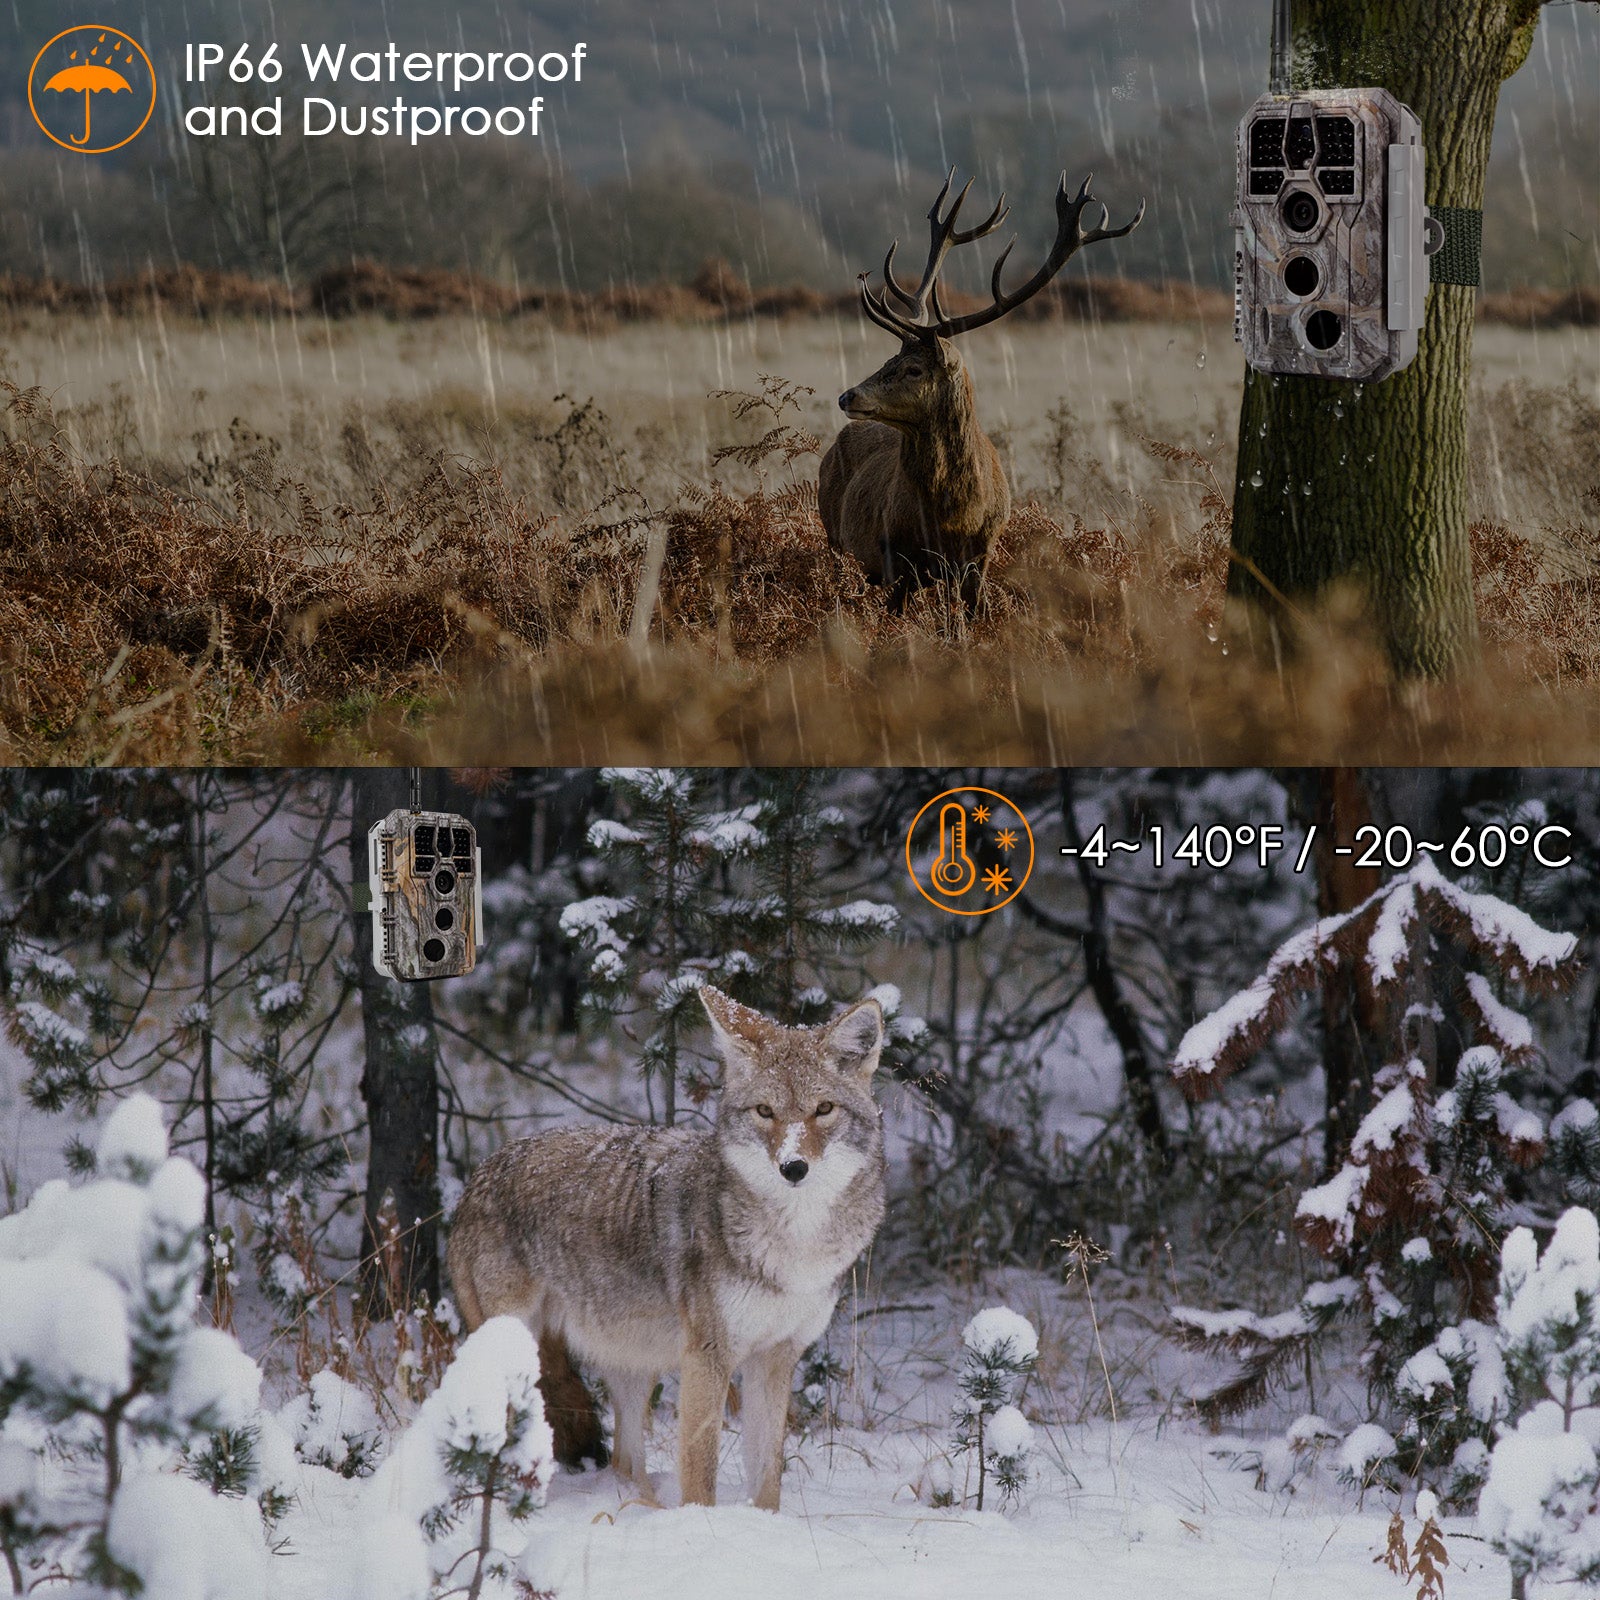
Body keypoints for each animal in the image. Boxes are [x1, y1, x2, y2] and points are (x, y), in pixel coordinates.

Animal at [819, 168, 1144, 610]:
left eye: (914, 369)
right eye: (888, 360)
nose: (847, 395)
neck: (954, 518)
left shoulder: (980, 557)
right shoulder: (895, 559)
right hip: (836, 541)